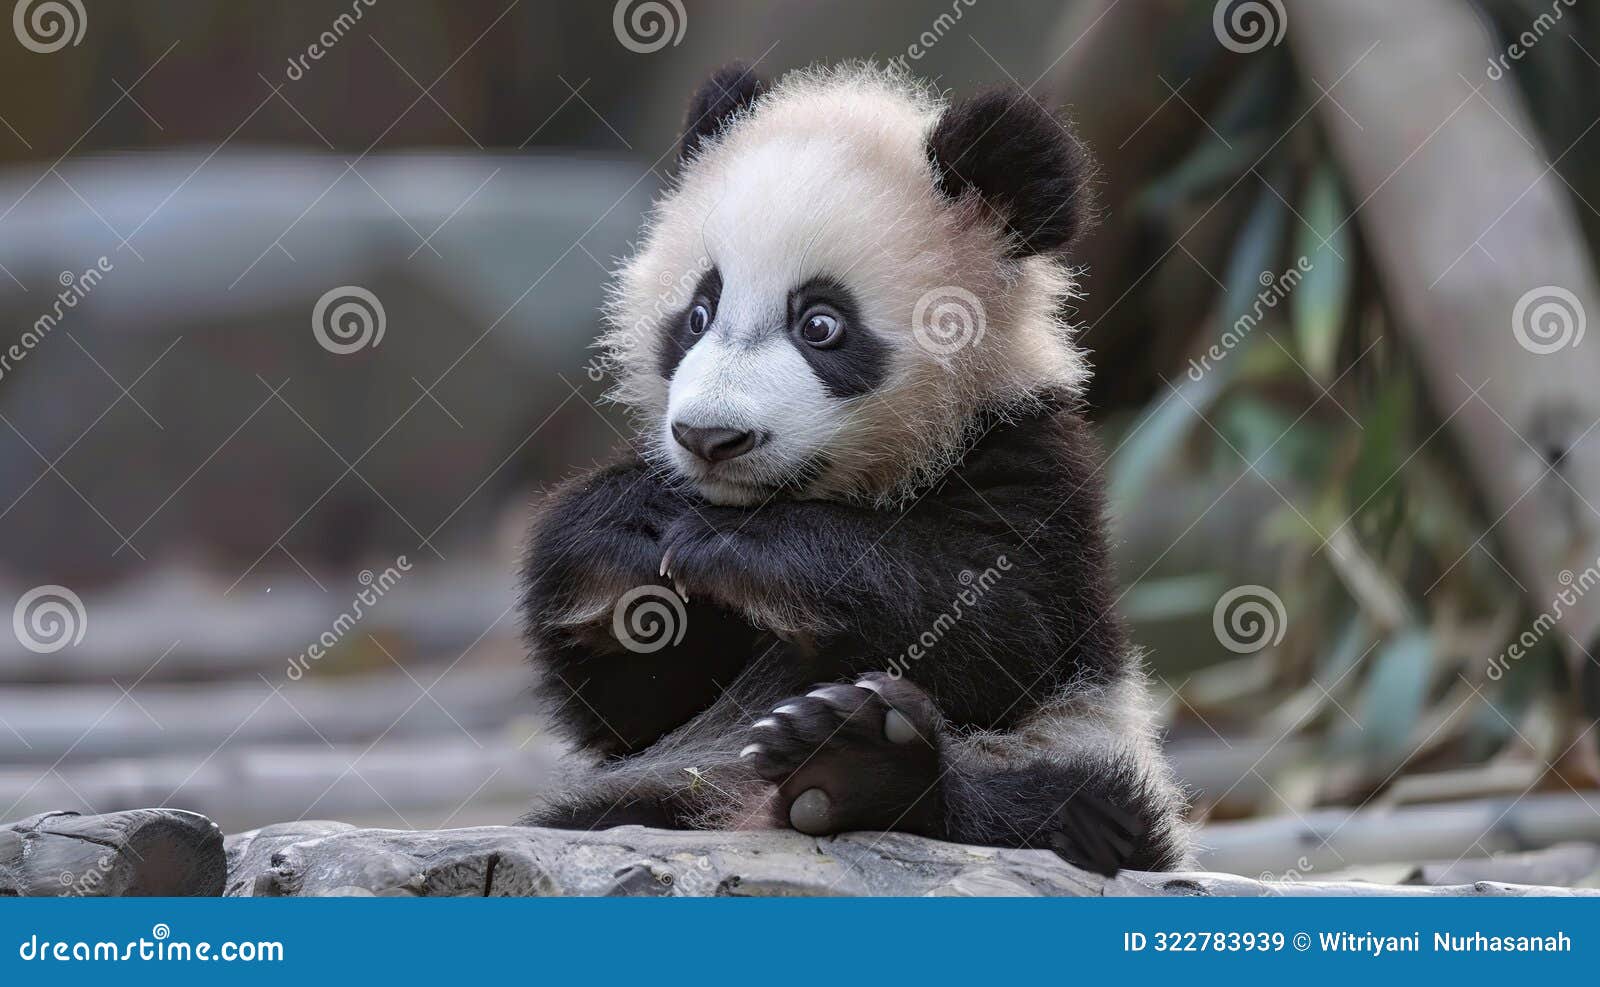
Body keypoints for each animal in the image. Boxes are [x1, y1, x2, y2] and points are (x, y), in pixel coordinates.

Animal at [518, 62, 1191, 875]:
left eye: (821, 324)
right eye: (698, 315)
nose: (709, 437)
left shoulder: (1030, 455)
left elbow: (1005, 619)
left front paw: (750, 548)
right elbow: (641, 704)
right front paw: (621, 526)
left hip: (1085, 750)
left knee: (1074, 810)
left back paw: (853, 761)